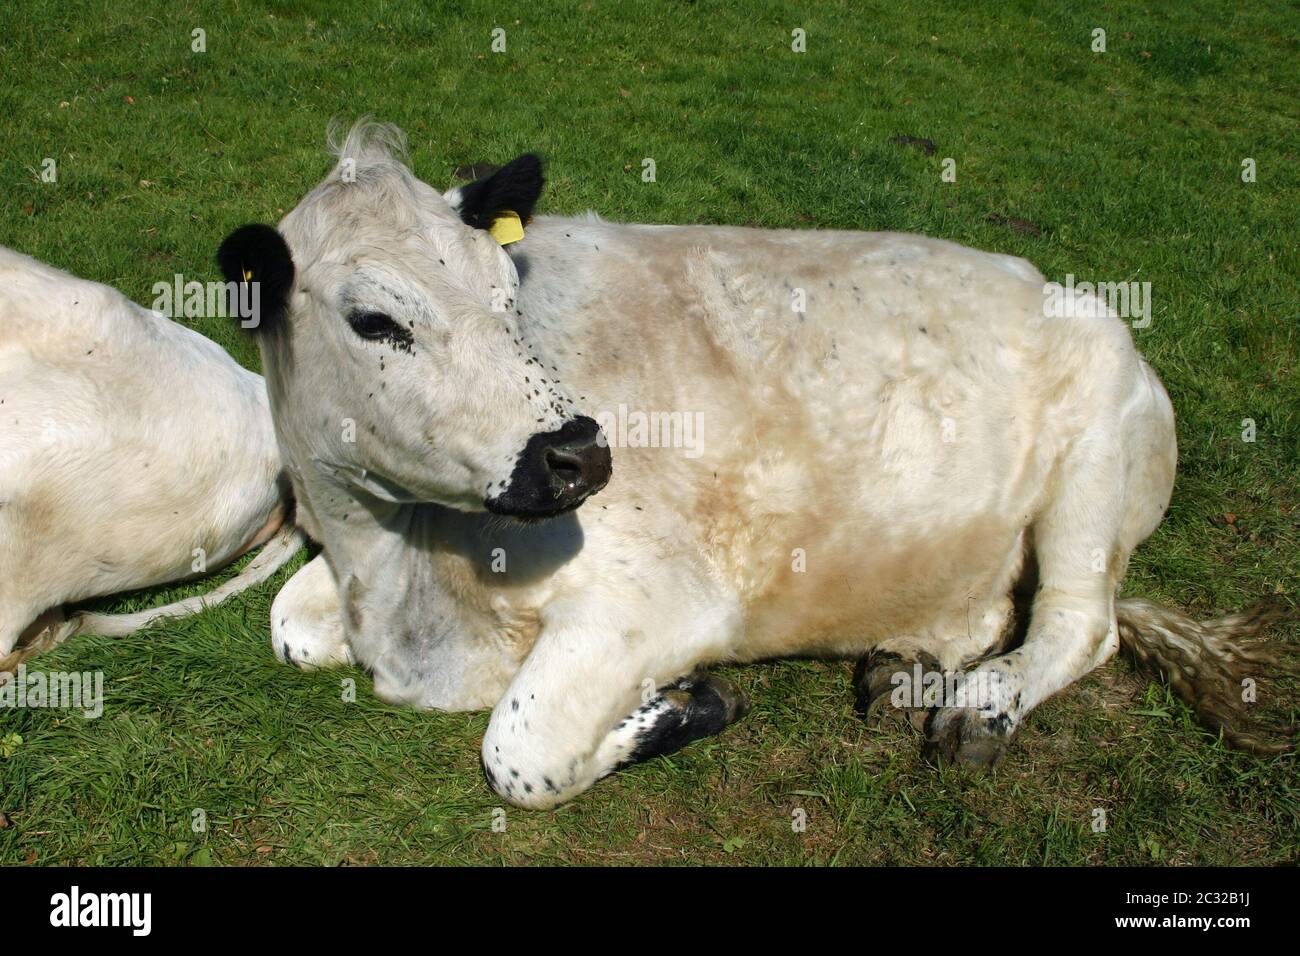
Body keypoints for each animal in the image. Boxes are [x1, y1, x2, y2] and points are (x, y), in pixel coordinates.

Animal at [218, 120, 1292, 808]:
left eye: (504, 293)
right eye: (375, 320)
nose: (578, 451)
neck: (402, 586)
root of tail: (1088, 300)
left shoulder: (656, 597)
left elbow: (520, 752)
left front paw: (684, 705)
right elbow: (286, 624)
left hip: (1091, 473)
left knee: (1079, 624)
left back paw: (981, 707)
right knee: (993, 612)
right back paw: (904, 668)